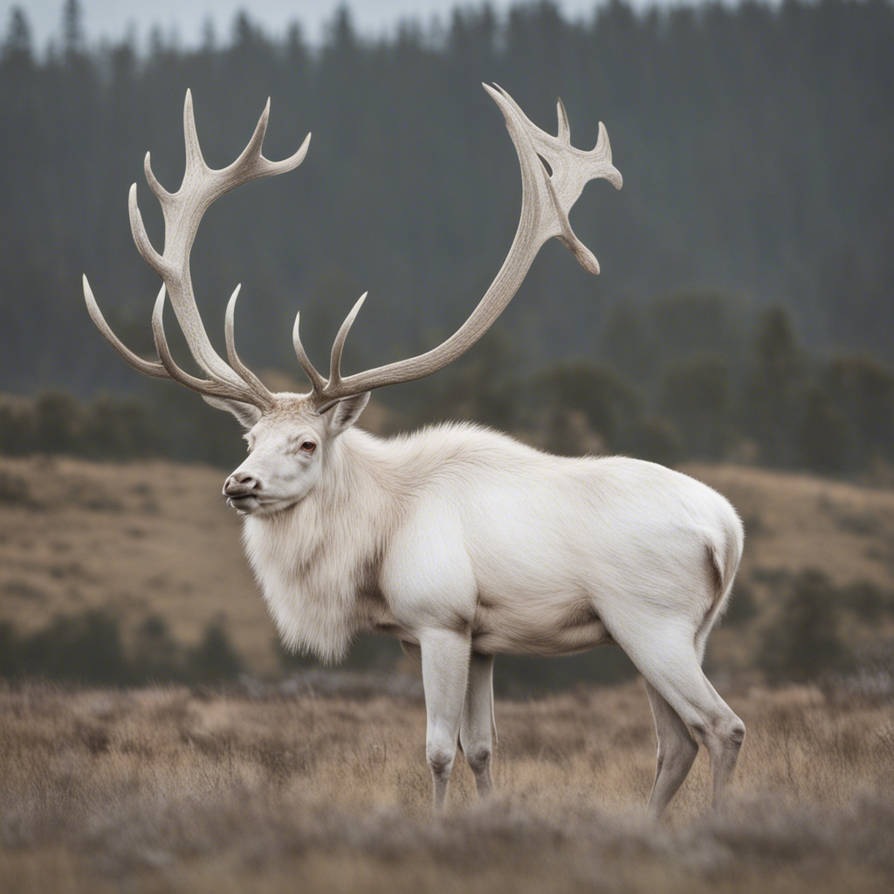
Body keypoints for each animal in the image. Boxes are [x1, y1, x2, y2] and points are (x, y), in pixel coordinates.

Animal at [82, 84, 745, 816]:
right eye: (249, 438)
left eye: (307, 442)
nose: (239, 484)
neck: (376, 537)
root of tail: (728, 530)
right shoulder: (484, 641)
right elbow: (482, 748)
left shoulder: (440, 621)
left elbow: (438, 751)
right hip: (678, 630)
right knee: (676, 741)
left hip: (651, 621)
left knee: (721, 727)